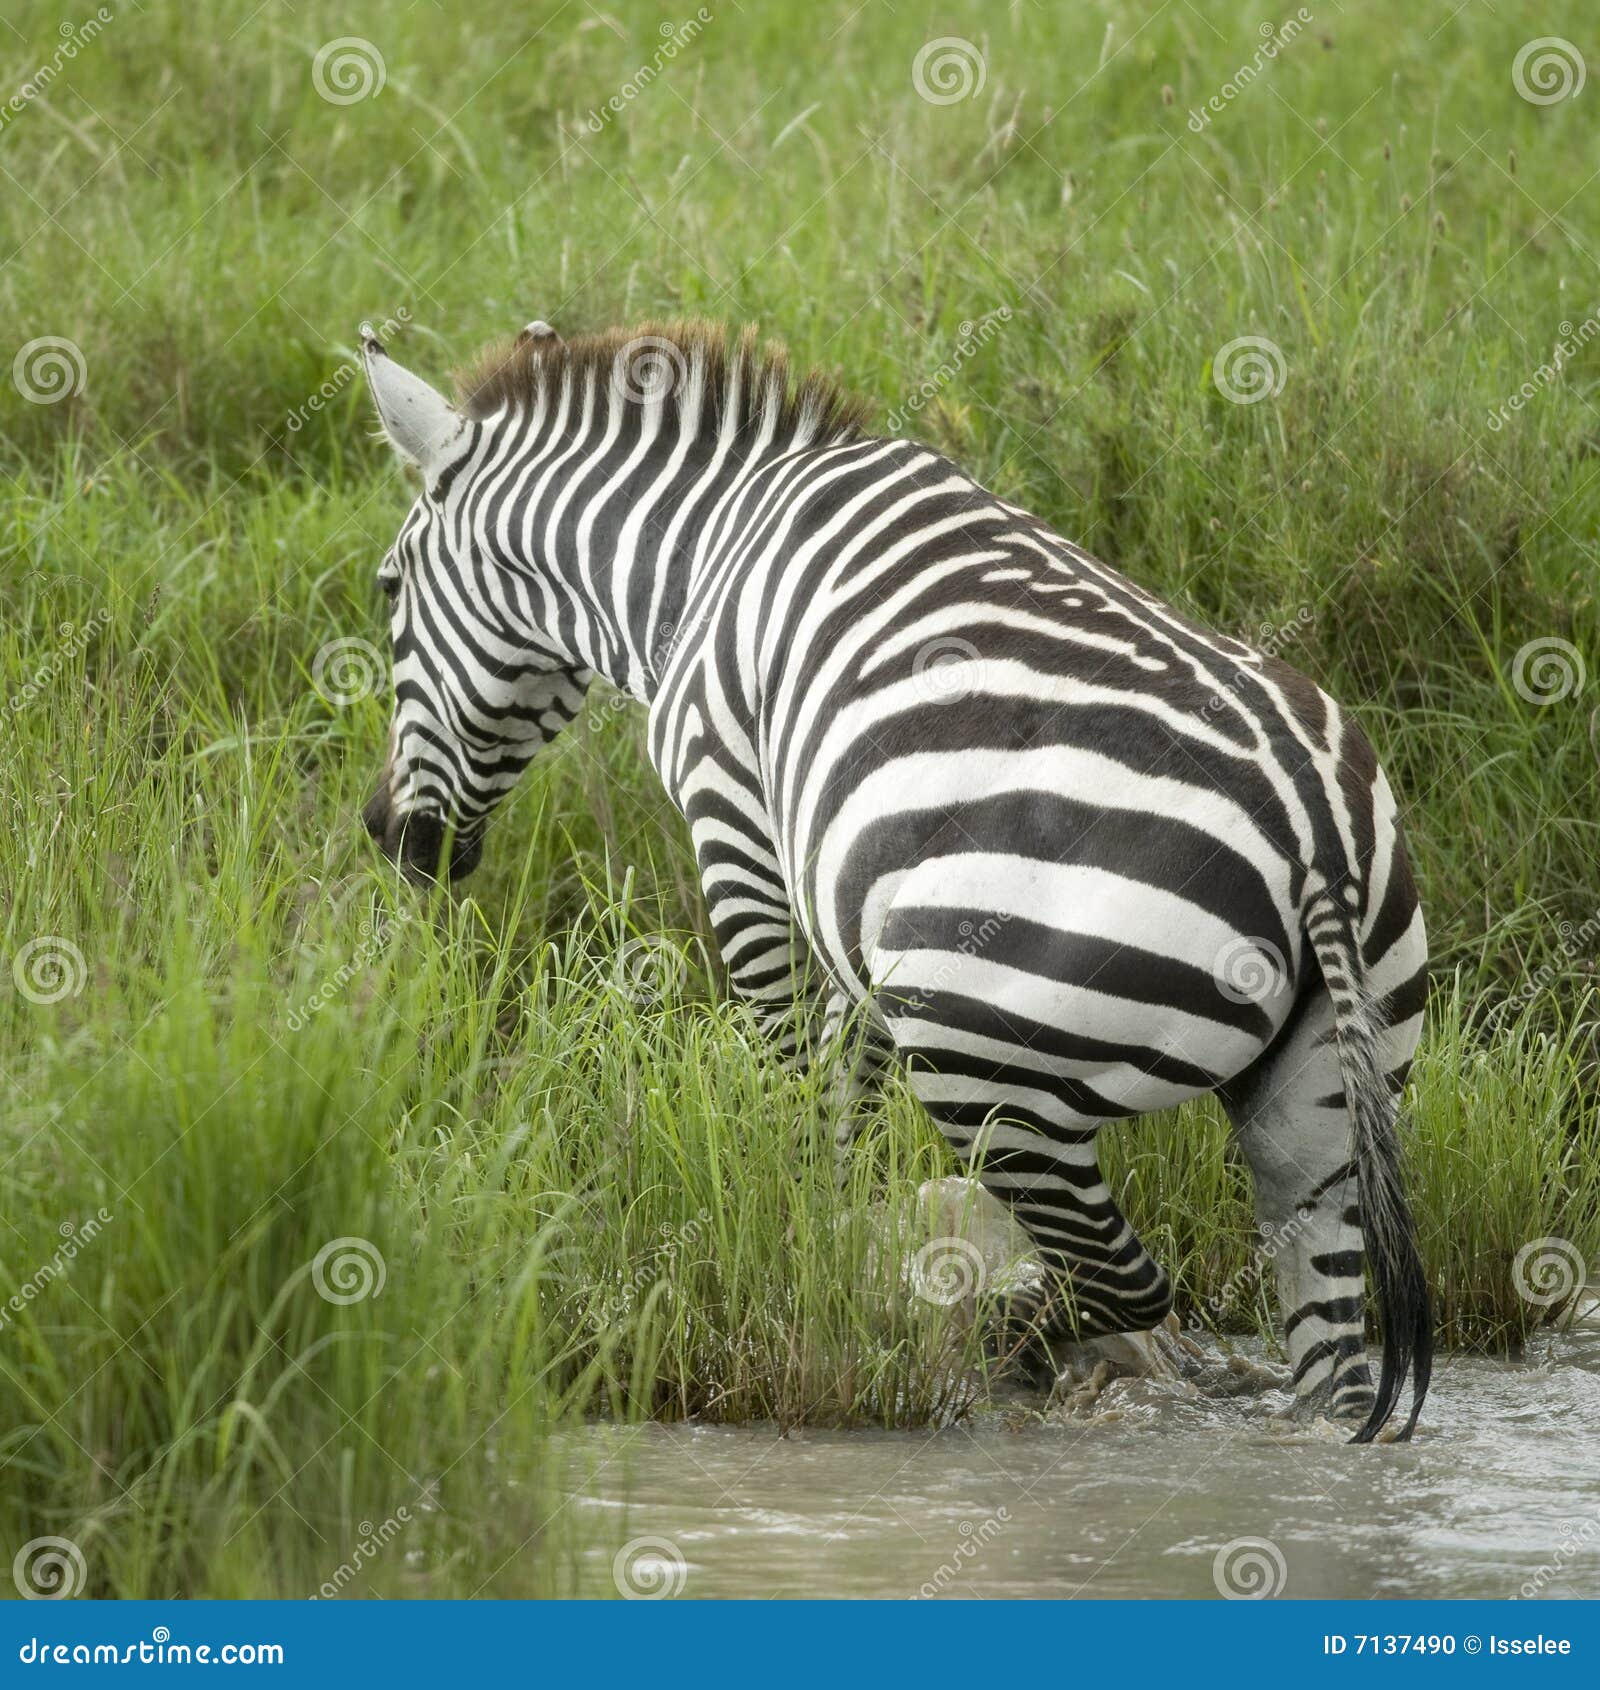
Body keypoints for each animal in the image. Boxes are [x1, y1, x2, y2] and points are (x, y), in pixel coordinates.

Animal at [356, 315, 1433, 1441]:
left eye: (386, 589)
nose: (388, 835)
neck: (696, 555)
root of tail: (1313, 827)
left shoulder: (735, 815)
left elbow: (788, 1071)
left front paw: (789, 1249)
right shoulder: (859, 898)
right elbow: (845, 1089)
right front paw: (830, 1254)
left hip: (991, 1067)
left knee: (1130, 1278)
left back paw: (1002, 1339)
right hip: (1323, 1106)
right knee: (1319, 1351)